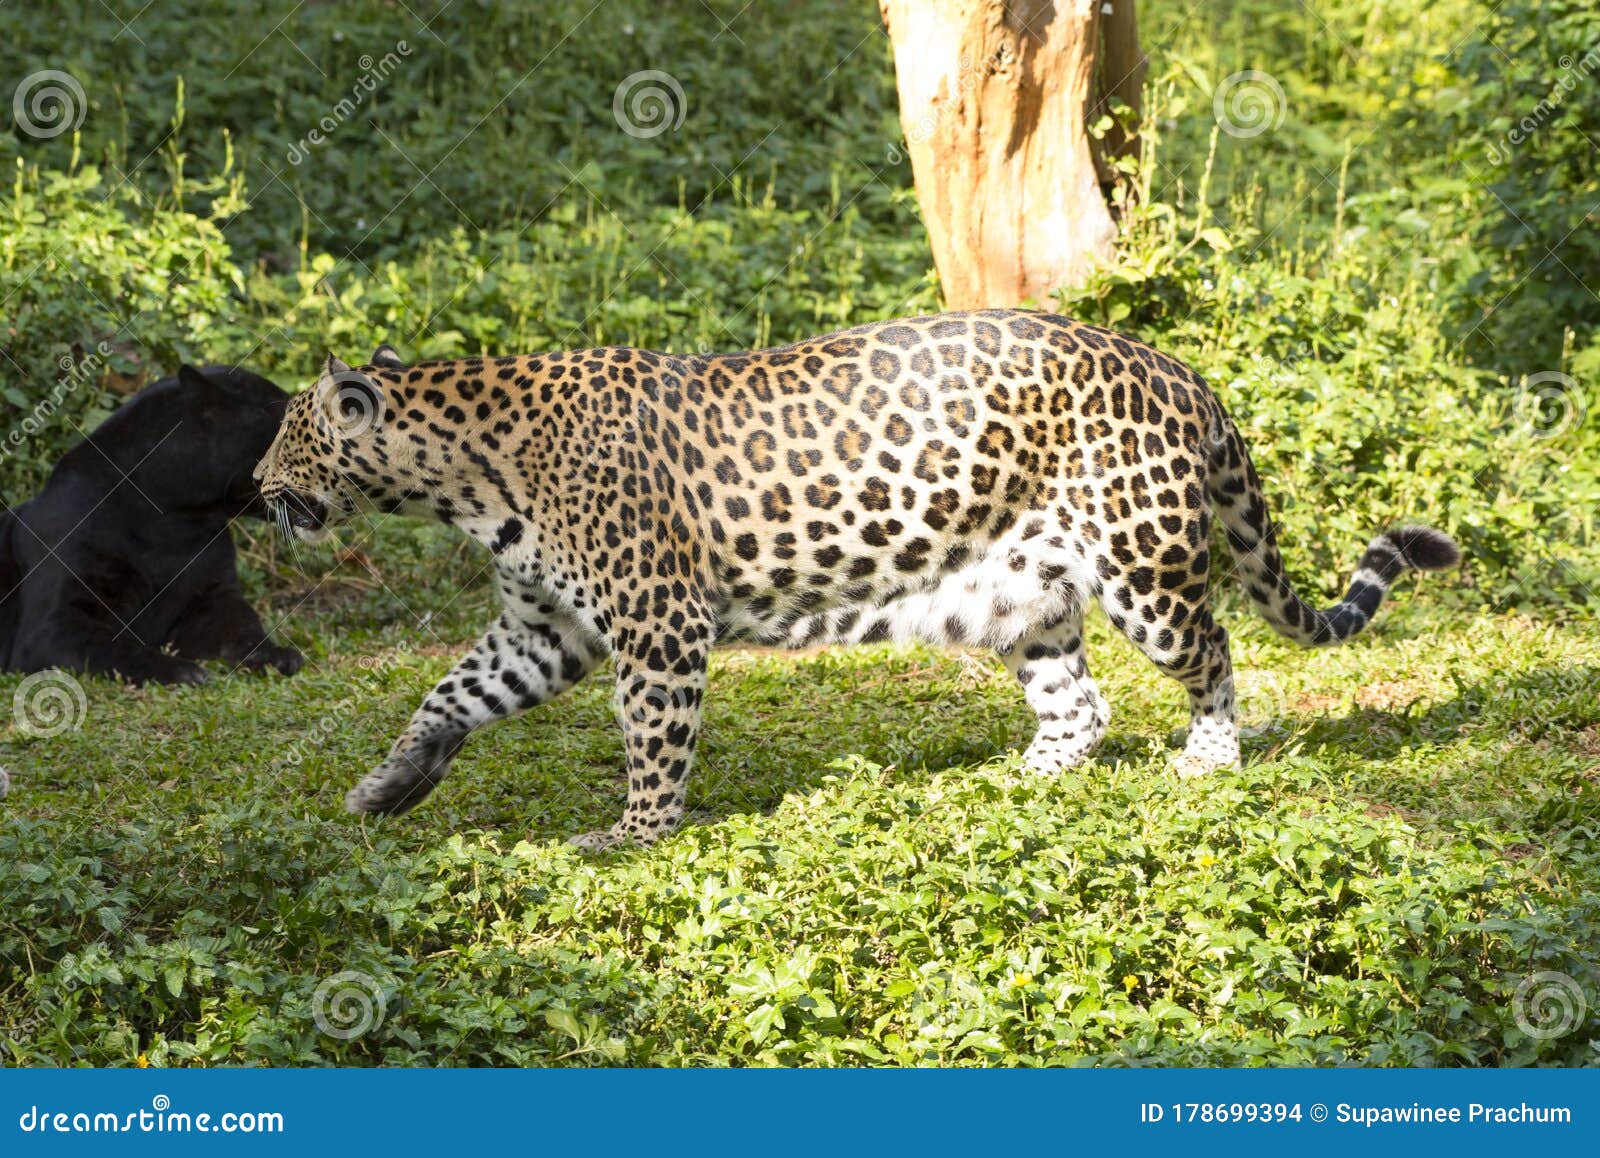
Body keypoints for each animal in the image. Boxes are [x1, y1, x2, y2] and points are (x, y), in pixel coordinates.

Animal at [253, 313, 1459, 850]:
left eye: (287, 436)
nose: (257, 488)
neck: (458, 479)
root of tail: (1182, 370)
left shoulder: (656, 626)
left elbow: (652, 743)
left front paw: (633, 838)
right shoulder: (547, 627)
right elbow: (450, 693)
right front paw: (388, 785)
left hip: (1142, 566)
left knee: (1211, 651)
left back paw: (1207, 757)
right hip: (1020, 589)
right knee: (1080, 703)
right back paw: (1004, 785)